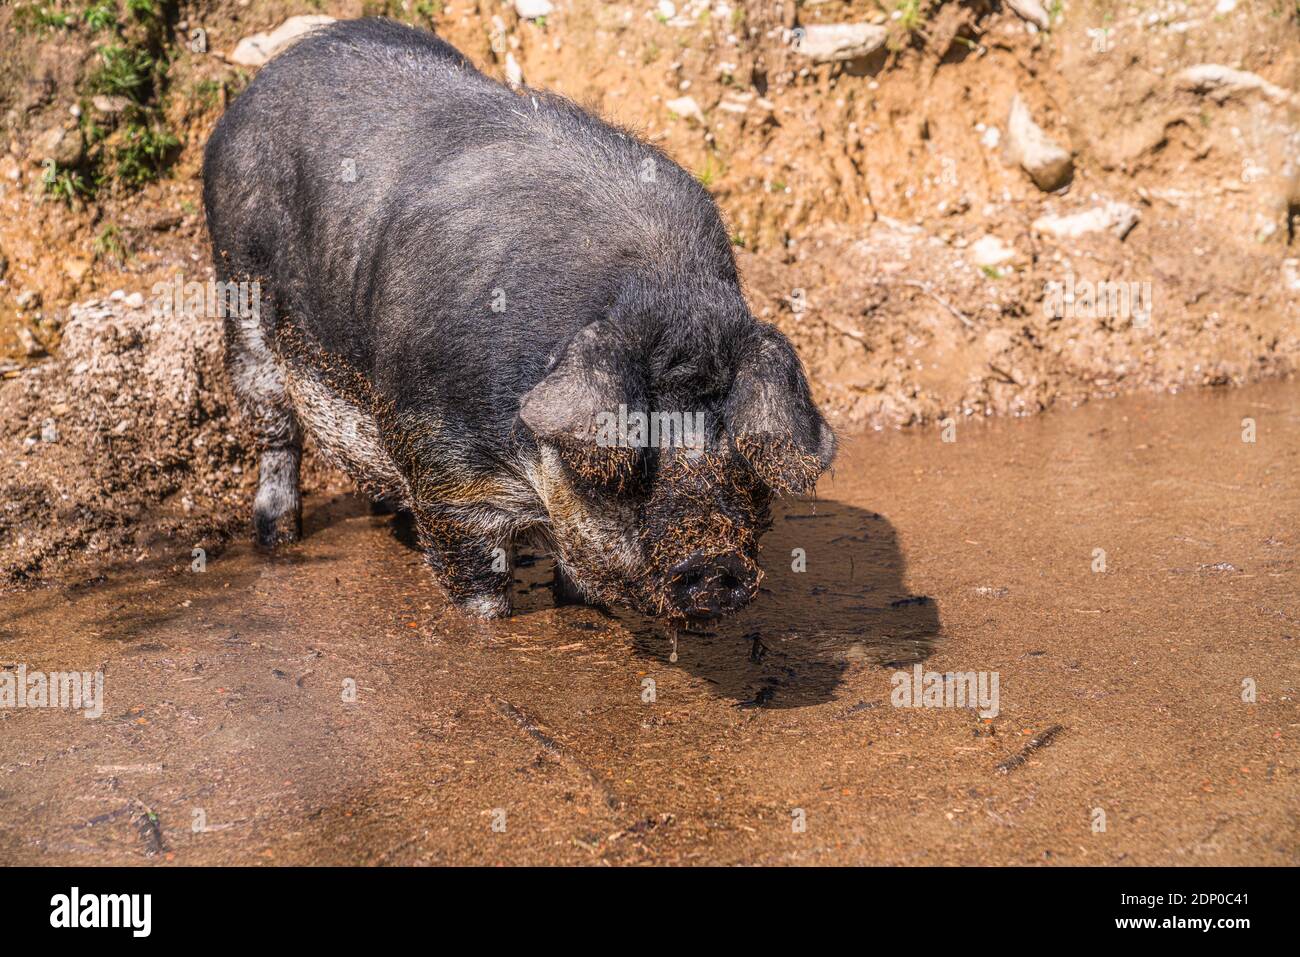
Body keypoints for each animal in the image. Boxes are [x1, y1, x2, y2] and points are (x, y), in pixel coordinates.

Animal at [202, 18, 834, 622]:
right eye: (636, 442)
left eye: (738, 445)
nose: (715, 563)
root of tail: (270, 74)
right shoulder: (447, 465)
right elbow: (478, 582)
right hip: (242, 293)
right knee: (275, 427)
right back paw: (277, 539)